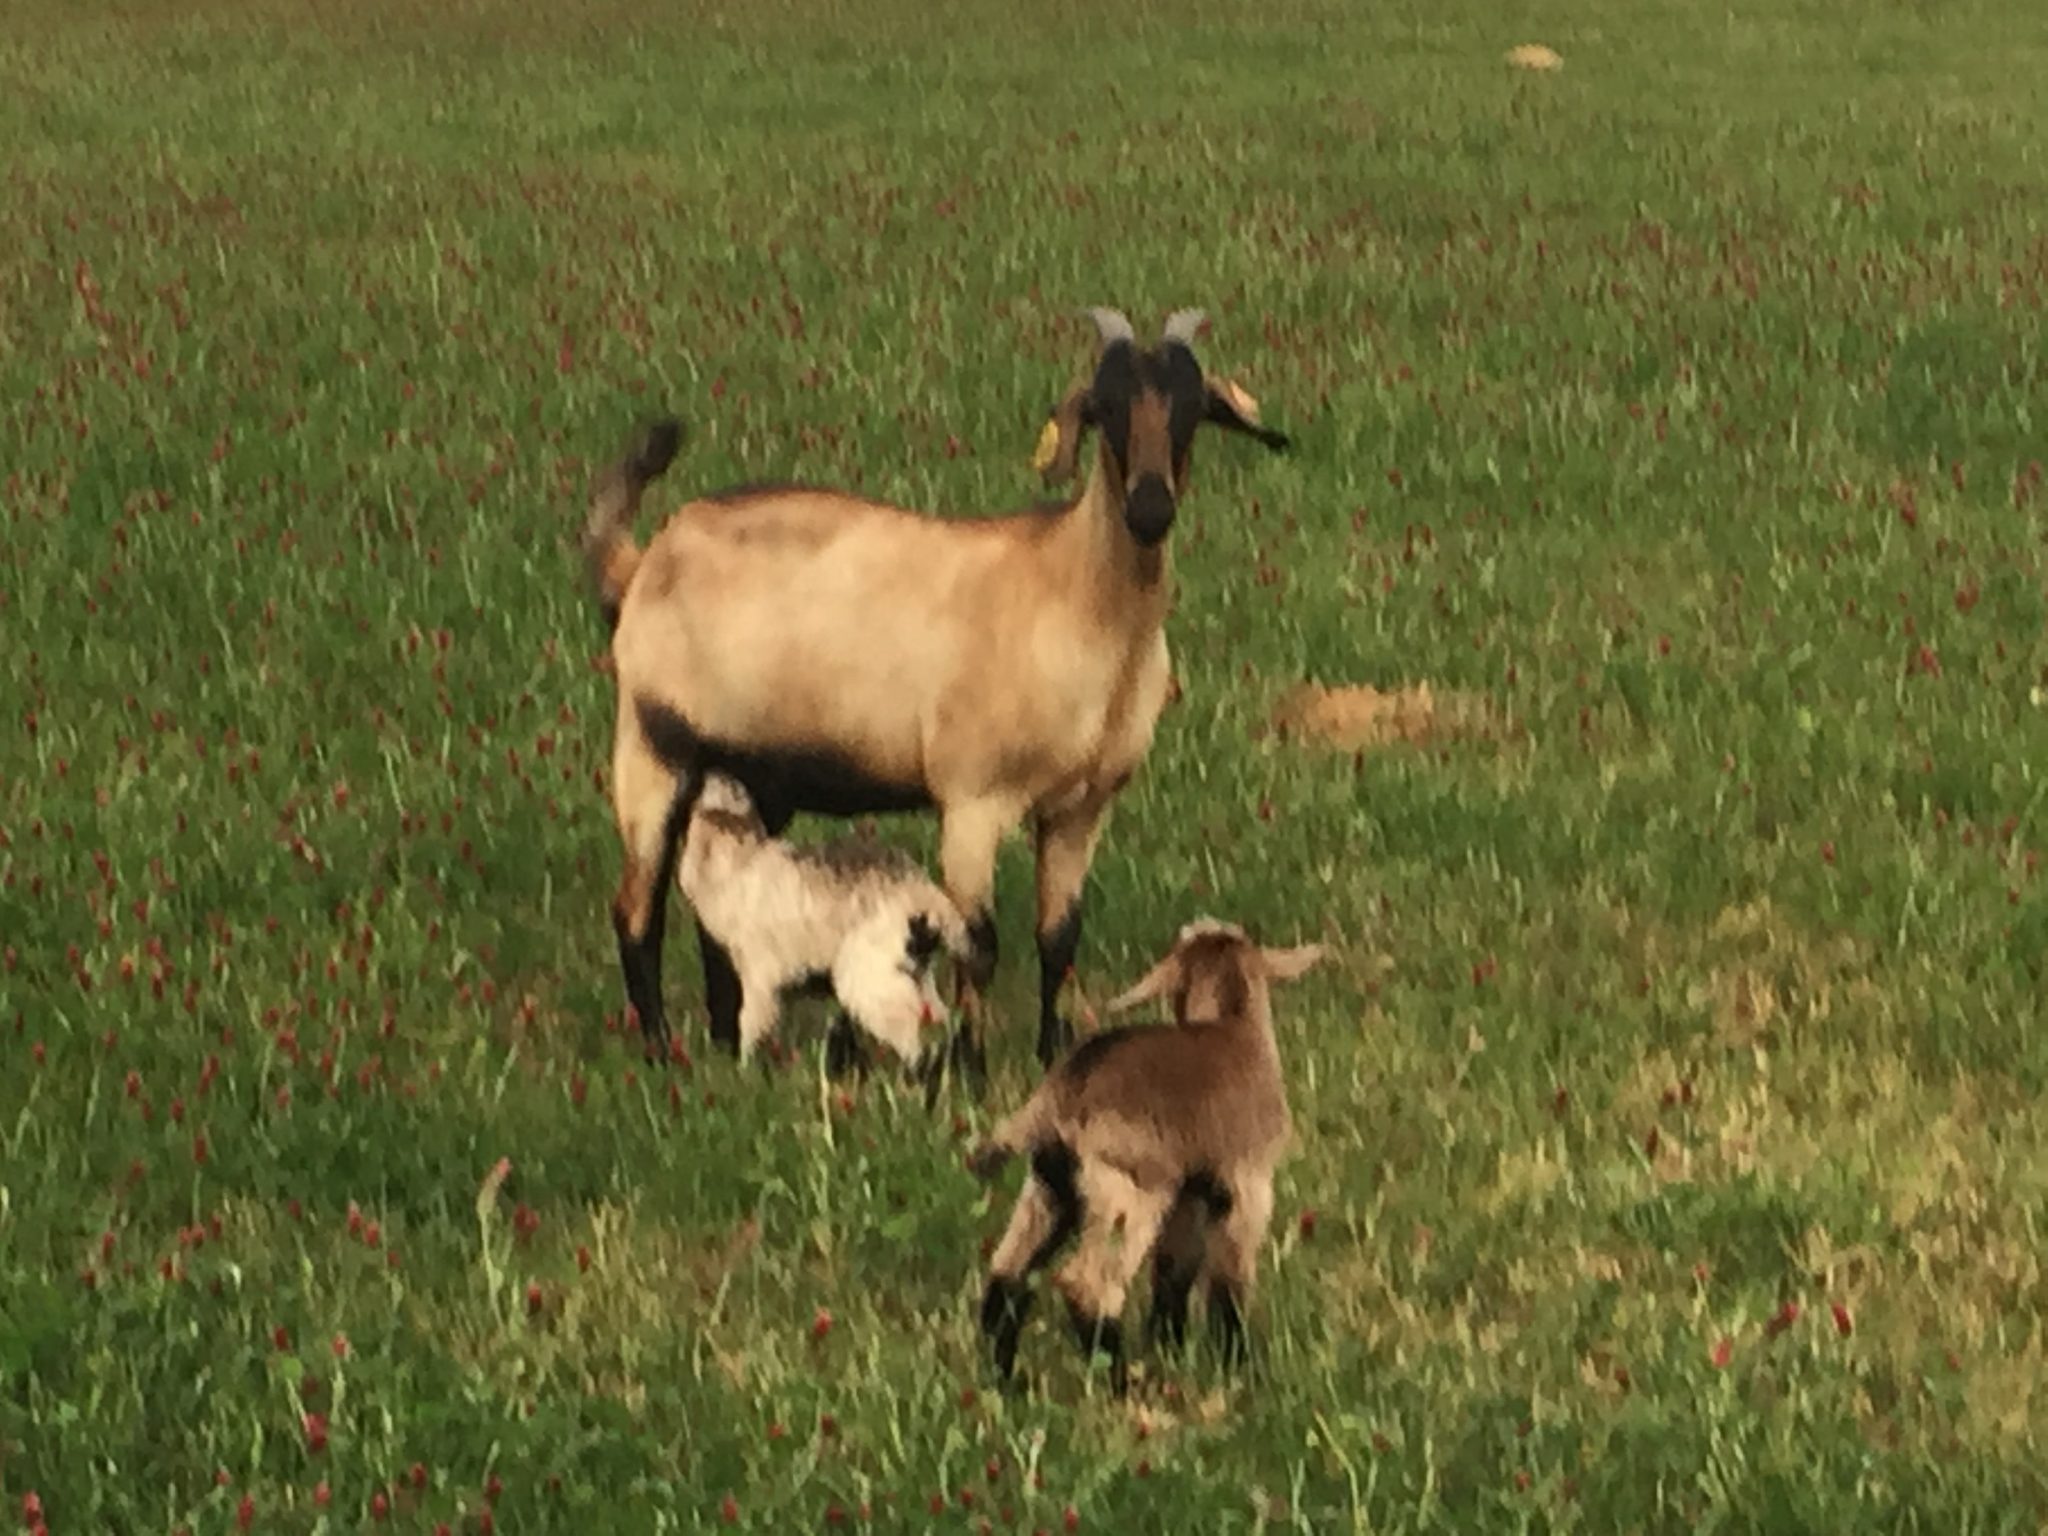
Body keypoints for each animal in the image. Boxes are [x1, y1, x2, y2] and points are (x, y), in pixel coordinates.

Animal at [674, 770, 968, 1071]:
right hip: (917, 969)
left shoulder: (759, 971)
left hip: (871, 970)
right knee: (937, 1014)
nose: (718, 773)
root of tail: (926, 895)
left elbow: (752, 1020)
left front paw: (744, 1068)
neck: (737, 860)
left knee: (904, 1020)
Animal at [966, 918, 1327, 1395]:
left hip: (1050, 1188)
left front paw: (1169, 1344)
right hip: (1129, 1191)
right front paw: (1235, 1361)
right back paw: (1123, 1383)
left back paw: (1007, 1381)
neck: (1233, 1027)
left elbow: (1174, 1272)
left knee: (1007, 1275)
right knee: (1088, 1287)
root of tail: (1062, 1092)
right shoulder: (1247, 1184)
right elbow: (1229, 1279)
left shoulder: (1190, 1196)